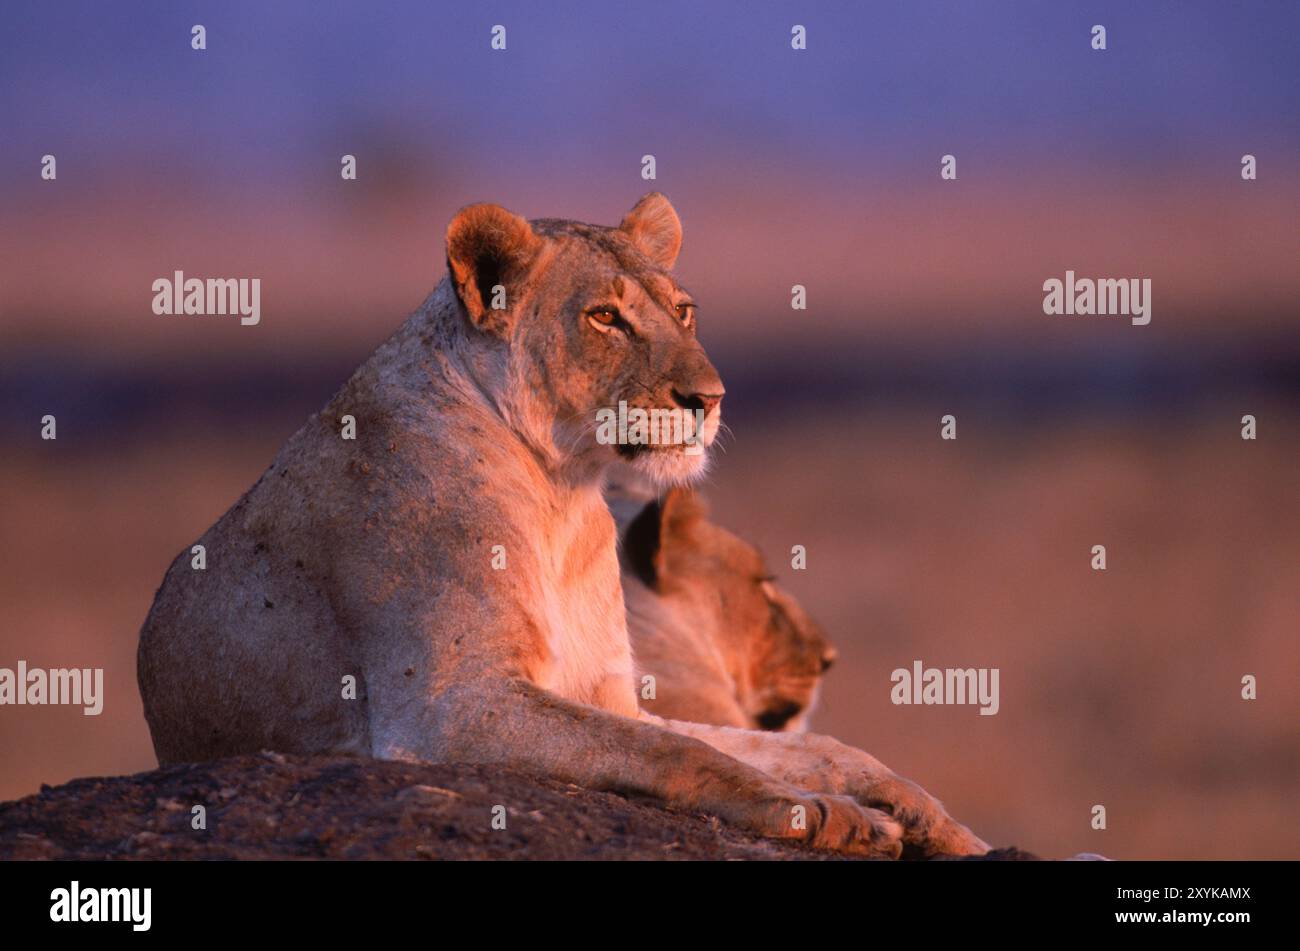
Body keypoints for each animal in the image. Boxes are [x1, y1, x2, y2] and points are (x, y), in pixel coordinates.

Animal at [138, 194, 987, 858]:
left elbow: (806, 745)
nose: (709, 398)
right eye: (606, 317)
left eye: (683, 310)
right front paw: (821, 815)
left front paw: (927, 815)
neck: (564, 494)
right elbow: (674, 747)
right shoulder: (448, 711)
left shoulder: (607, 689)